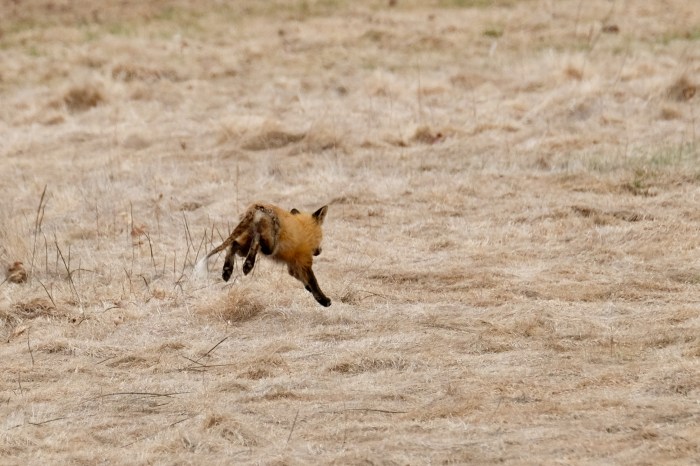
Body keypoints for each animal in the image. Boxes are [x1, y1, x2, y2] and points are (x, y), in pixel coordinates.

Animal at [194, 202, 331, 307]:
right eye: (321, 237)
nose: (319, 251)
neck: (305, 231)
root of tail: (257, 205)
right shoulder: (304, 262)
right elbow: (314, 282)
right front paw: (324, 300)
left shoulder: (293, 266)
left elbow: (305, 282)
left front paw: (312, 292)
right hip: (269, 247)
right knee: (256, 241)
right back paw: (248, 265)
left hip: (244, 249)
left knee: (233, 244)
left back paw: (228, 270)